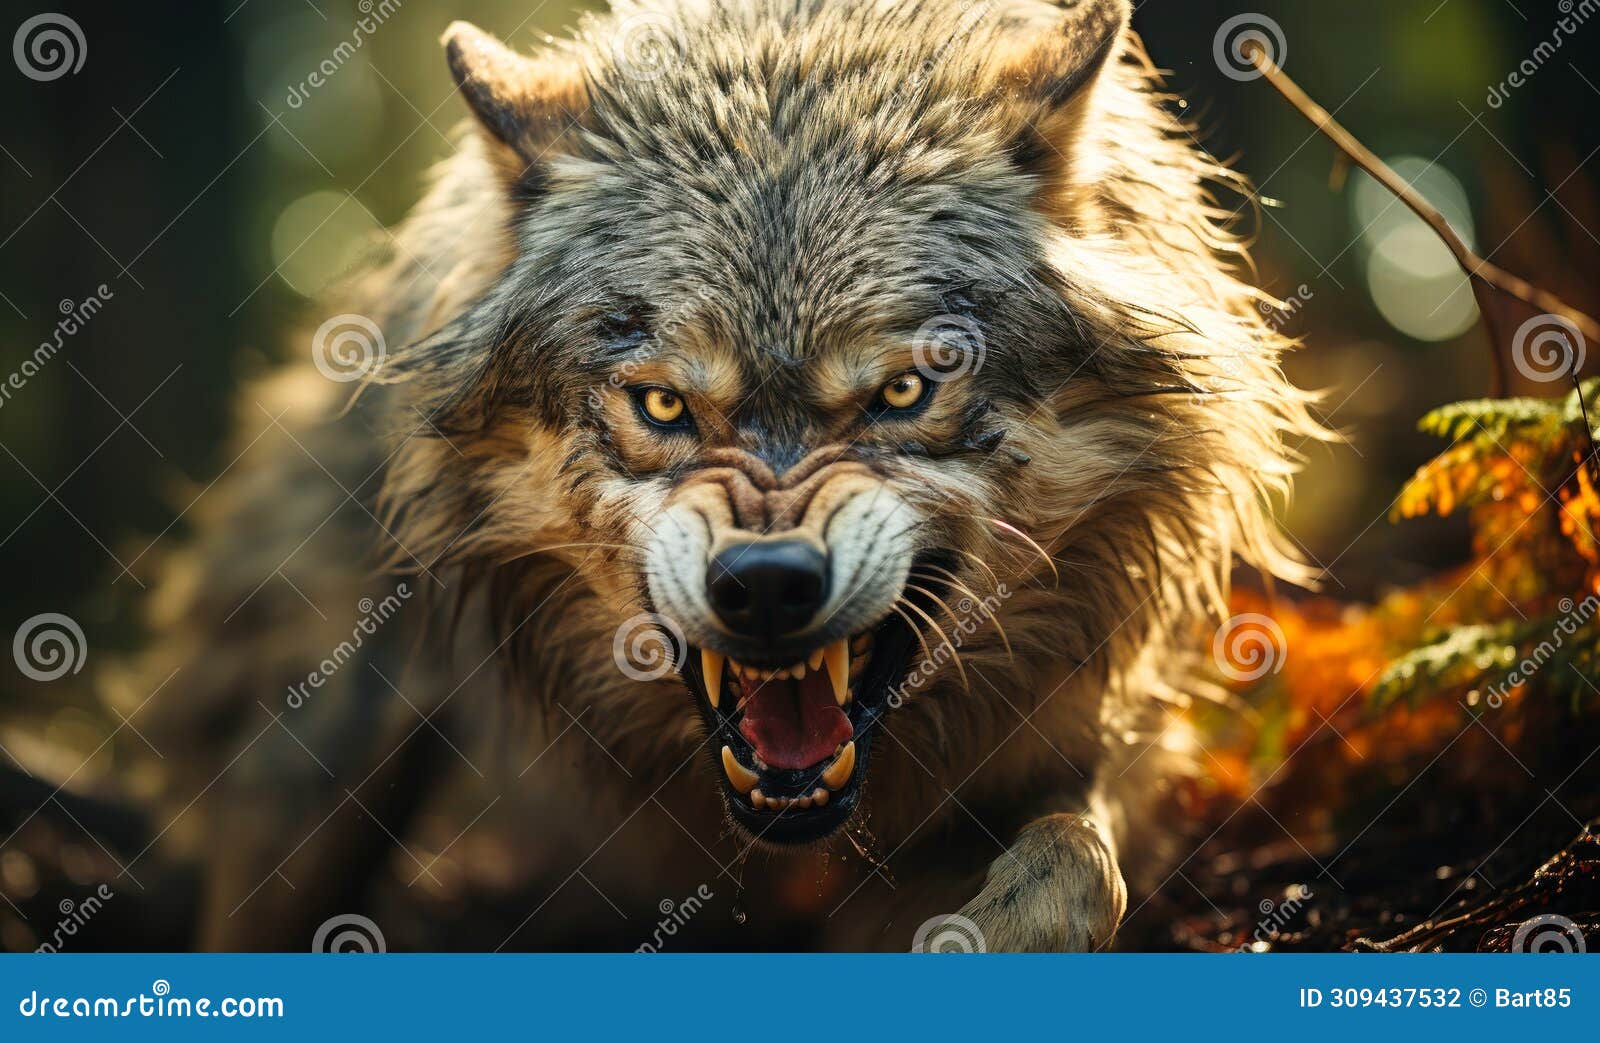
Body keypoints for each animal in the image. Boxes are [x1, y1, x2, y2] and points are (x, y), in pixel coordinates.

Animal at [114, 0, 1319, 952]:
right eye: (662, 405)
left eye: (902, 392)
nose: (770, 584)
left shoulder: (1099, 736)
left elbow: (1080, 857)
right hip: (321, 751)